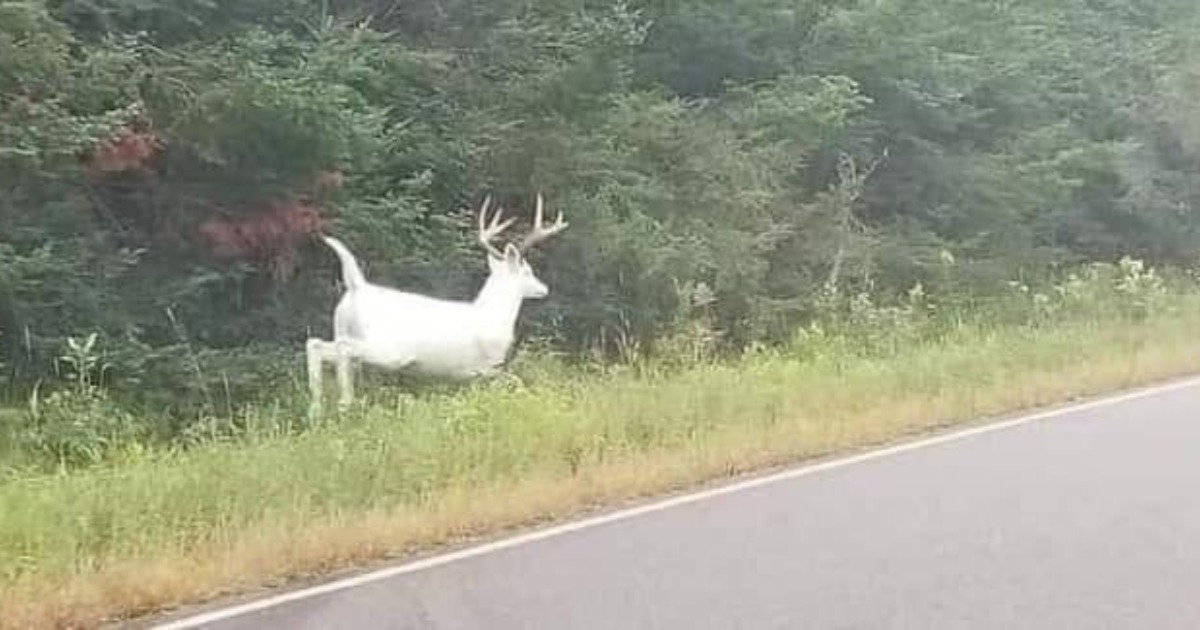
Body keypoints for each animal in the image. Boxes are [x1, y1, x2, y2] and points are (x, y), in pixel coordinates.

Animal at [305, 192, 568, 416]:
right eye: (527, 271)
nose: (543, 288)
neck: (494, 315)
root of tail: (357, 287)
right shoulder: (487, 368)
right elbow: (517, 383)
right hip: (389, 349)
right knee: (341, 350)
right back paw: (344, 402)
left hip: (342, 329)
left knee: (317, 344)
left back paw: (318, 410)